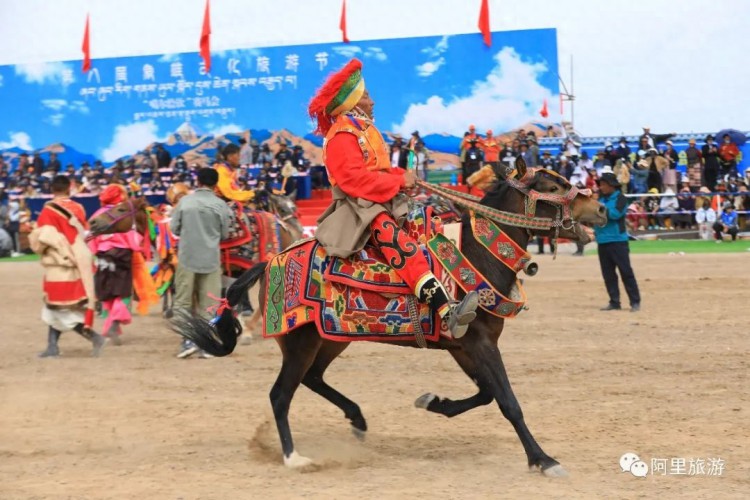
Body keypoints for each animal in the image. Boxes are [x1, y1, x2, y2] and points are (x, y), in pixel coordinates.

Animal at [173, 168, 608, 476]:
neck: (476, 257)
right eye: (552, 184)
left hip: (331, 338)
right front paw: (543, 459)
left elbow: (485, 394)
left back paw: (357, 419)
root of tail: (269, 262)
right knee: (281, 395)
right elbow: (507, 401)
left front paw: (434, 402)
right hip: (300, 342)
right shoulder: (479, 342)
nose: (602, 208)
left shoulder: (463, 345)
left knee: (313, 378)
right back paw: (295, 458)